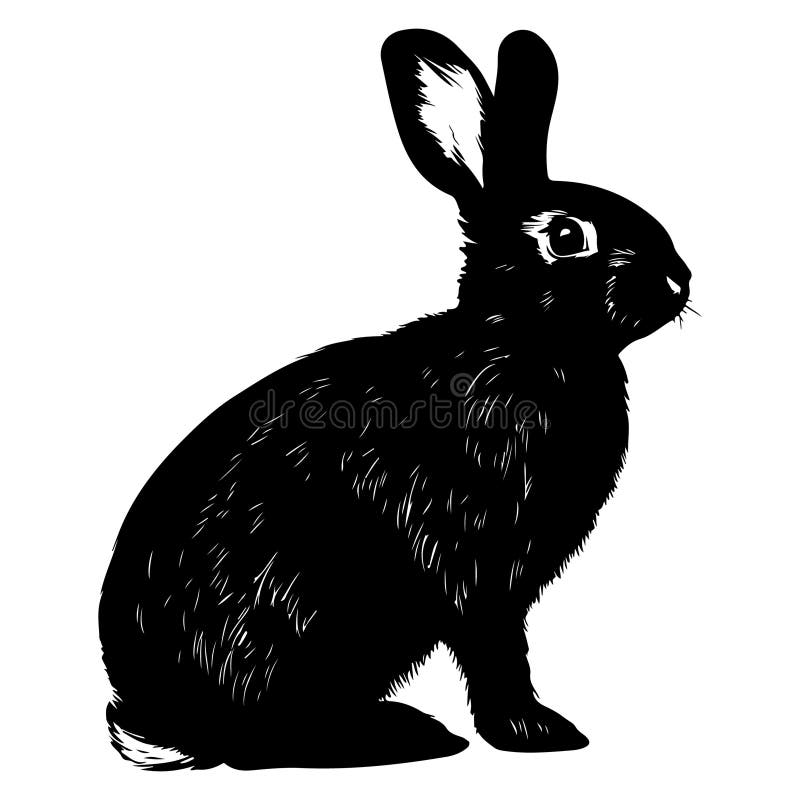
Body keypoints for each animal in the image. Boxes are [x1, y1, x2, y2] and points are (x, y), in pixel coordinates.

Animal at [99, 29, 691, 770]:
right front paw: (535, 733)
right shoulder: (474, 571)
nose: (680, 279)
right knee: (267, 740)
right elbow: (496, 652)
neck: (524, 348)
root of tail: (163, 716)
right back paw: (405, 734)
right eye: (565, 237)